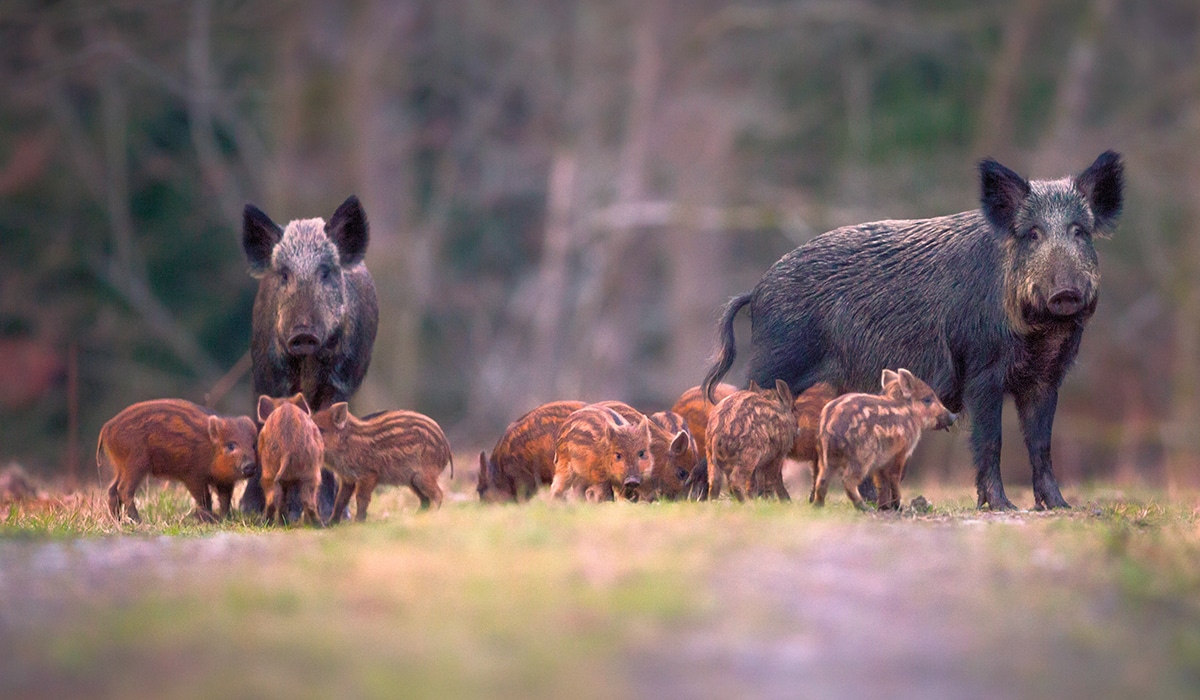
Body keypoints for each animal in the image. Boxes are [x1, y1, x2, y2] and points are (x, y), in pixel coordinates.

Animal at [98, 399, 257, 523]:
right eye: (231, 445)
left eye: (254, 445)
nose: (250, 465)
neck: (211, 449)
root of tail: (106, 428)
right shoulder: (193, 475)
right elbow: (205, 498)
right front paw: (209, 519)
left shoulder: (225, 480)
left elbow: (225, 499)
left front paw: (226, 519)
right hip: (134, 464)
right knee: (124, 489)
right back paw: (138, 521)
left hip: (121, 466)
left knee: (112, 489)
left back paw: (118, 521)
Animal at [257, 393, 324, 526]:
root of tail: (287, 448)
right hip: (312, 471)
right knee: (308, 499)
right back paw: (320, 525)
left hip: (268, 470)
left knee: (273, 498)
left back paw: (267, 523)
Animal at [311, 403, 453, 521]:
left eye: (320, 429)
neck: (347, 444)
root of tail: (447, 446)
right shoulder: (347, 478)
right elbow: (340, 500)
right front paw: (331, 523)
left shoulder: (369, 474)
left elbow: (361, 498)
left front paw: (358, 522)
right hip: (412, 481)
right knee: (425, 500)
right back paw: (415, 517)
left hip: (423, 476)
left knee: (438, 494)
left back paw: (432, 515)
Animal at [814, 369, 957, 511]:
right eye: (927, 399)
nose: (953, 416)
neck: (909, 412)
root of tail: (831, 424)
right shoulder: (901, 452)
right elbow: (894, 477)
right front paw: (898, 506)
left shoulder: (881, 460)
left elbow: (881, 482)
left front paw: (884, 507)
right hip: (862, 456)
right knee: (847, 479)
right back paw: (865, 508)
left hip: (826, 457)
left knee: (821, 480)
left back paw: (818, 506)